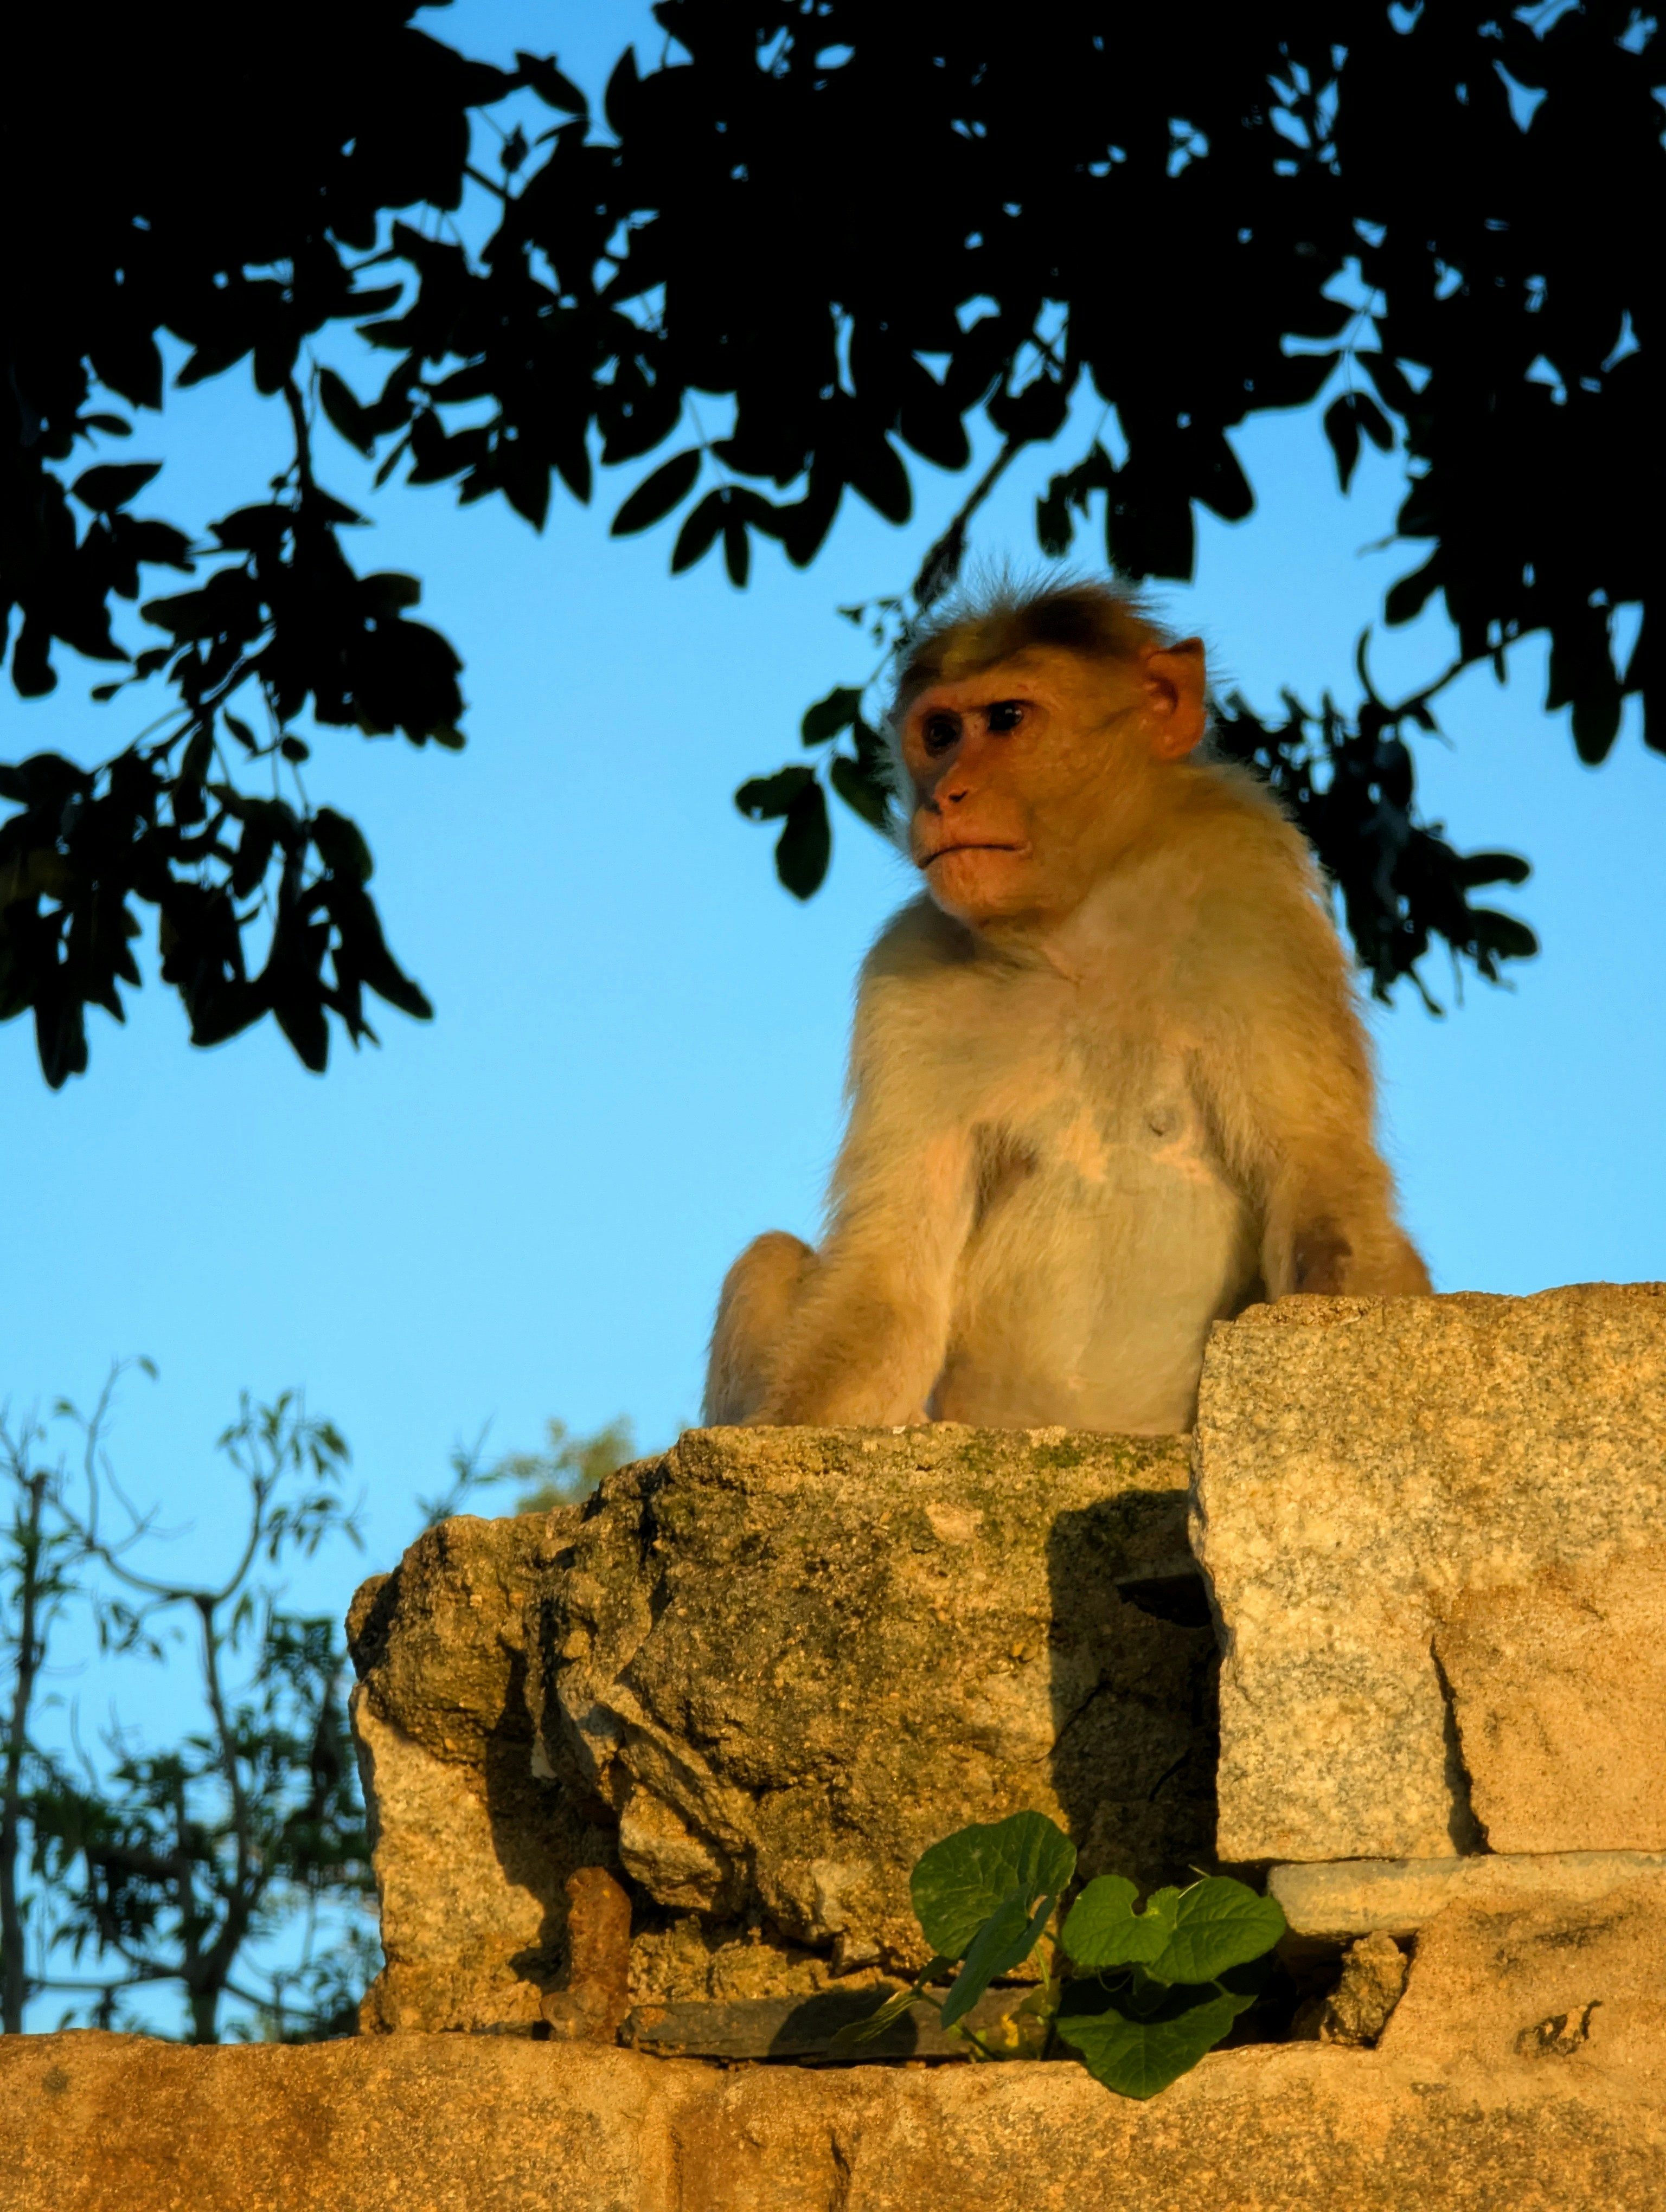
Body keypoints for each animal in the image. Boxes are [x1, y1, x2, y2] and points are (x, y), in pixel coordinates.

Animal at [705, 577, 1430, 1435]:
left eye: (1007, 720)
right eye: (940, 733)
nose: (945, 797)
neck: (1078, 929)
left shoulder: (1247, 894)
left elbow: (1317, 1177)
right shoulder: (905, 973)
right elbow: (889, 1266)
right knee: (772, 1258)